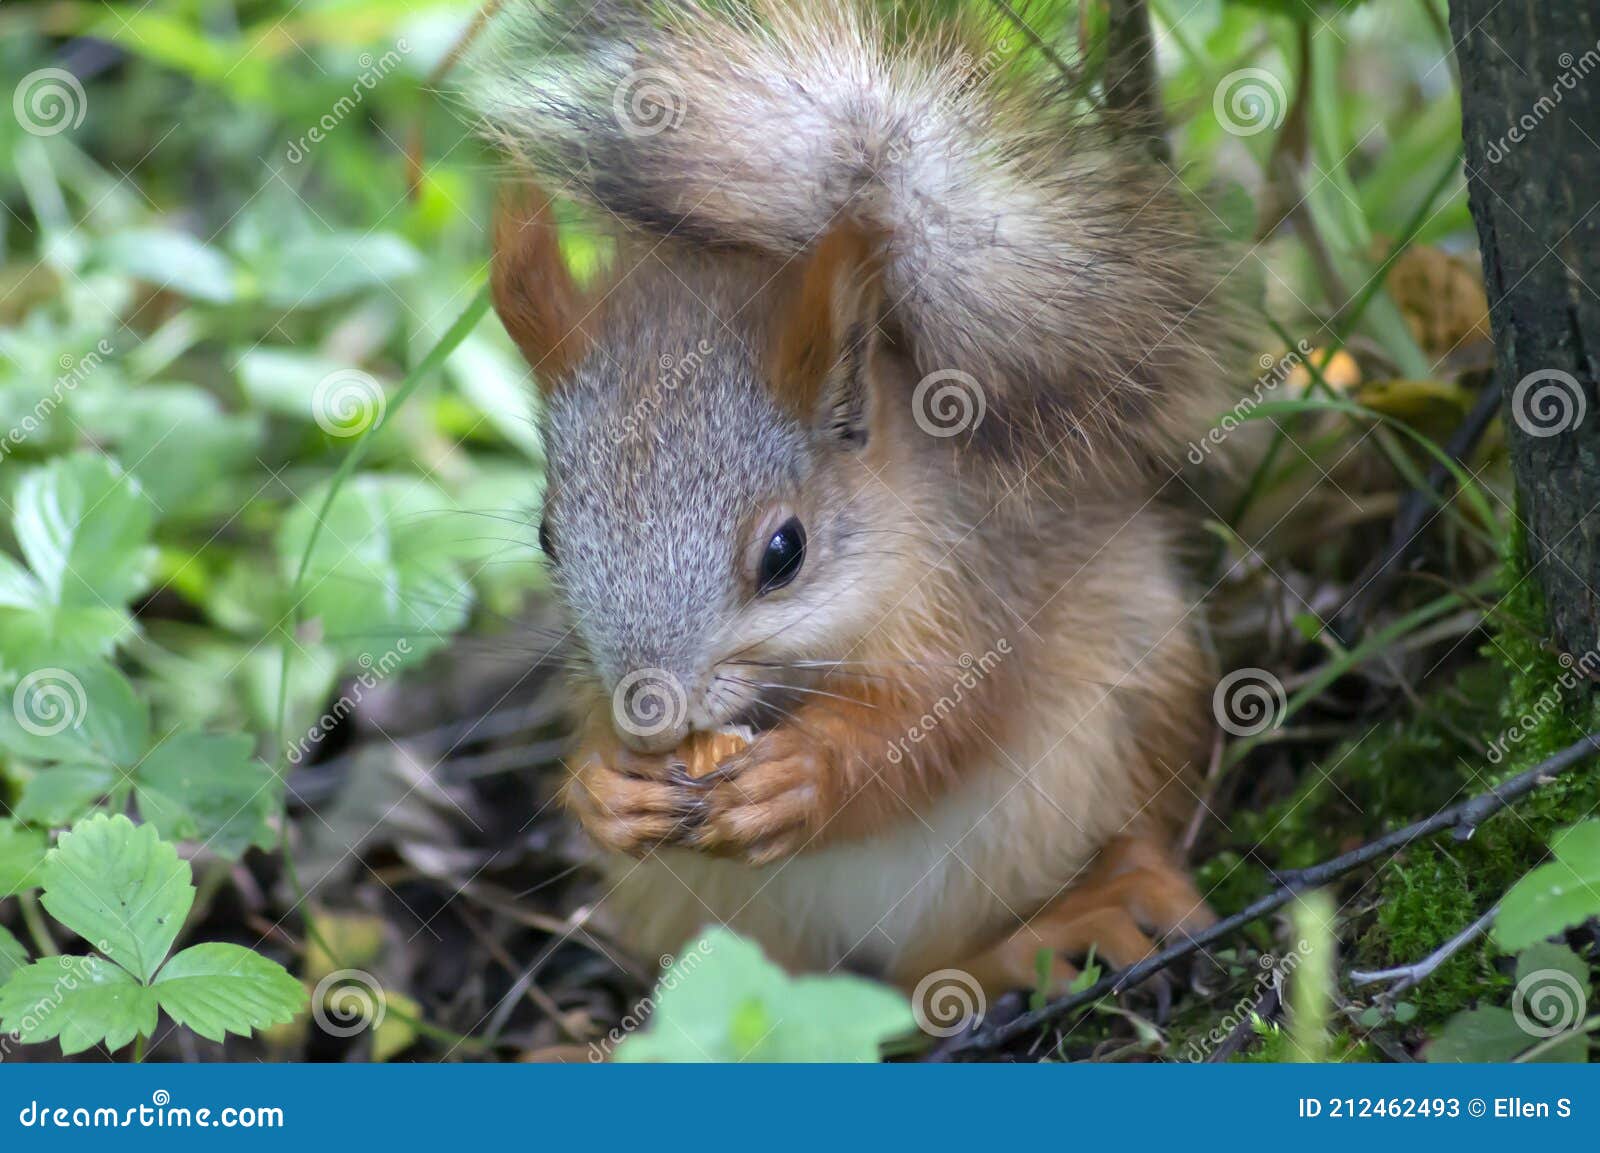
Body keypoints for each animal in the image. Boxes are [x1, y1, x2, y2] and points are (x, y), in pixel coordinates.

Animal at [469, 0, 1248, 999]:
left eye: (785, 552)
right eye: (547, 537)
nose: (650, 713)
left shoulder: (976, 582)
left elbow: (944, 721)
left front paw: (805, 775)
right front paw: (602, 782)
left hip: (1117, 733)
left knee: (948, 961)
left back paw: (1072, 916)